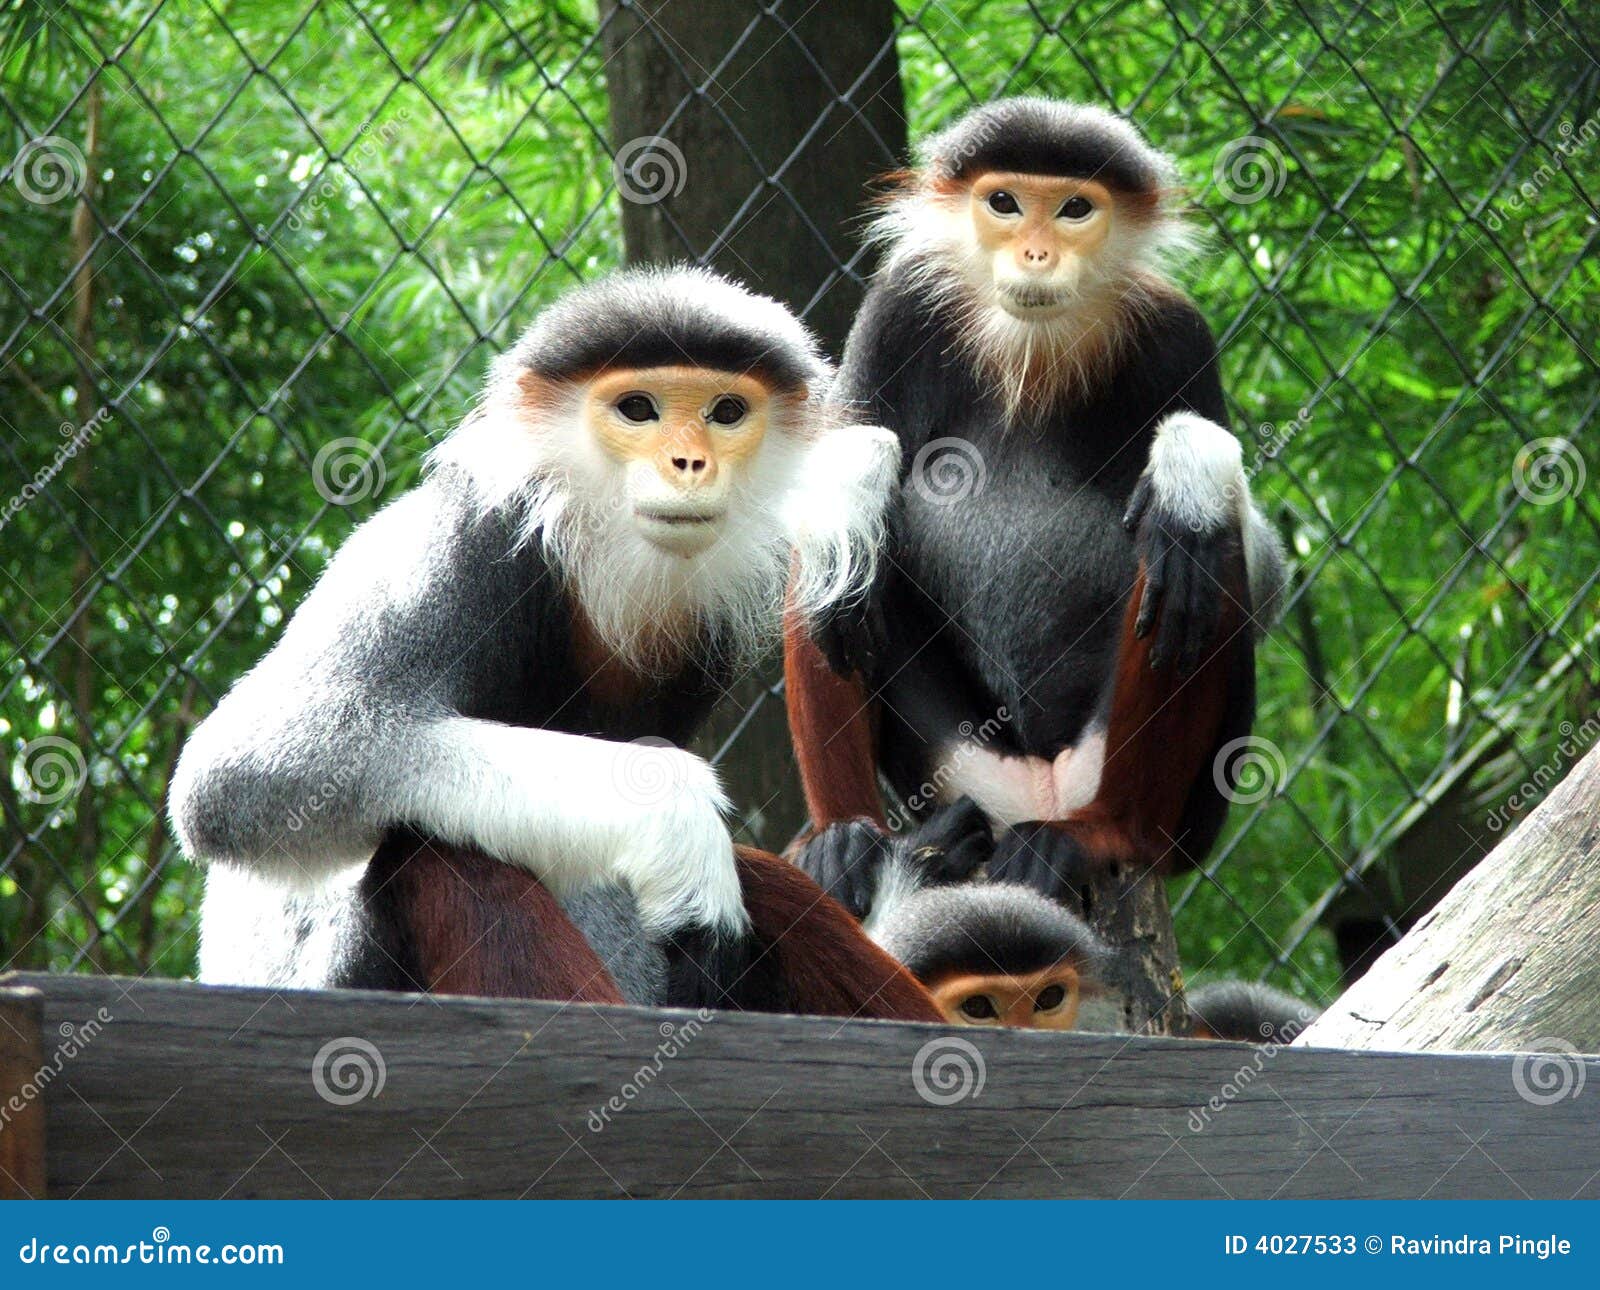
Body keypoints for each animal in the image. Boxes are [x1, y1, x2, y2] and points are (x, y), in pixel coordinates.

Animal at [170, 265, 941, 1020]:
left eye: (726, 413)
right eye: (638, 409)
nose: (689, 462)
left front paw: (848, 491)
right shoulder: (469, 544)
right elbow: (244, 772)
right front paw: (678, 821)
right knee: (438, 851)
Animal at [785, 98, 1289, 901]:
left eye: (1075, 209)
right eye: (1005, 204)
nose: (1035, 255)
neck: (1035, 351)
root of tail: (1038, 796)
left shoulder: (1181, 335)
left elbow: (1246, 547)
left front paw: (1187, 472)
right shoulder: (900, 307)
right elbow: (846, 460)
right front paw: (857, 490)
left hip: (1167, 807)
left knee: (1204, 556)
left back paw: (1101, 833)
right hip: (956, 762)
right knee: (836, 557)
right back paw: (846, 839)